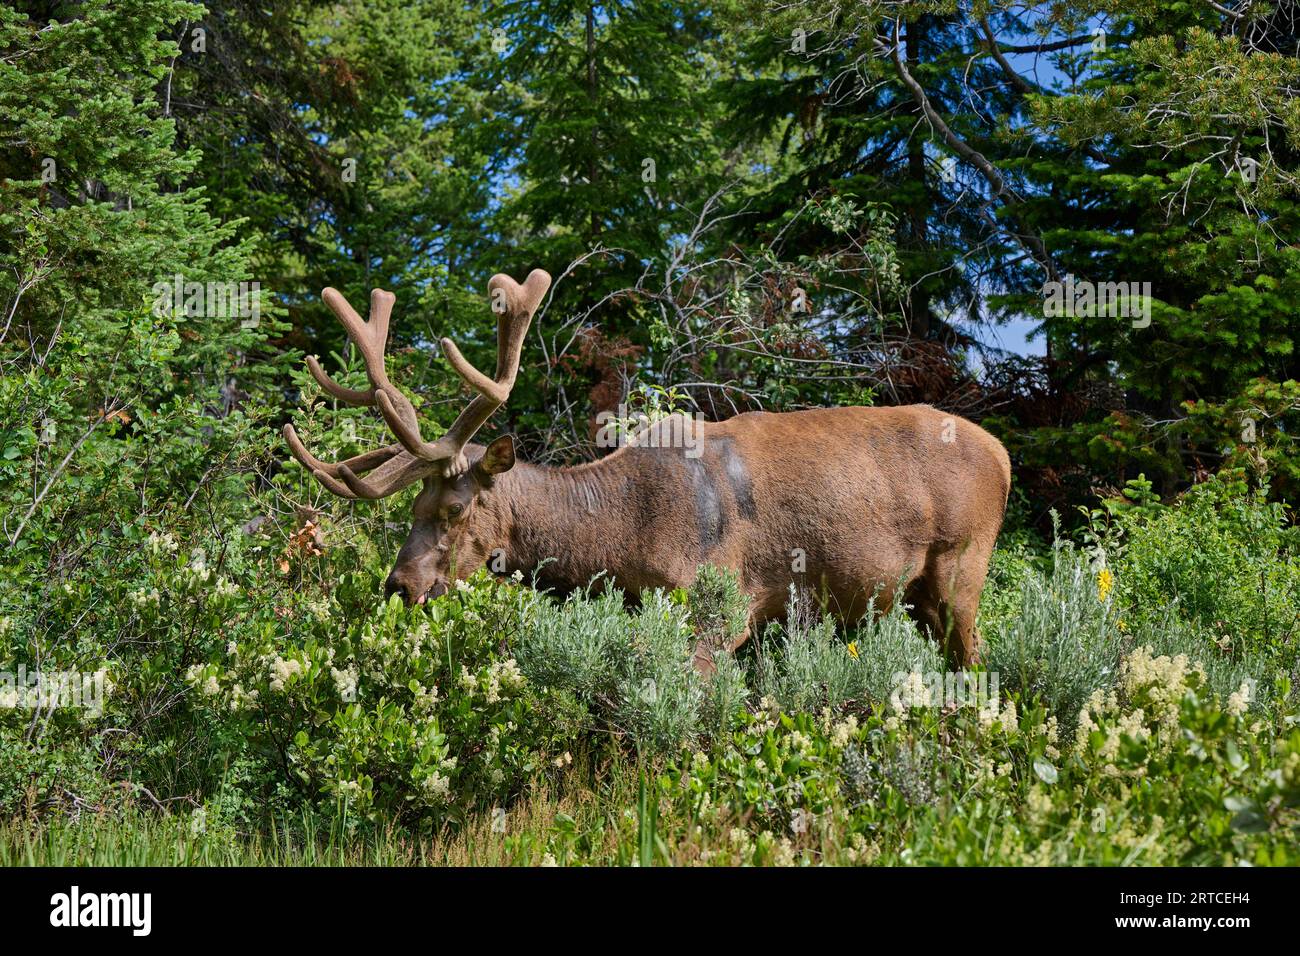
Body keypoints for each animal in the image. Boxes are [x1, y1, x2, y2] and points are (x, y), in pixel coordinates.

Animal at [283, 269, 1012, 672]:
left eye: (455, 508)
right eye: (411, 507)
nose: (398, 586)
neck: (623, 533)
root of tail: (1003, 454)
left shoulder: (719, 608)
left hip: (962, 565)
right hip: (918, 595)